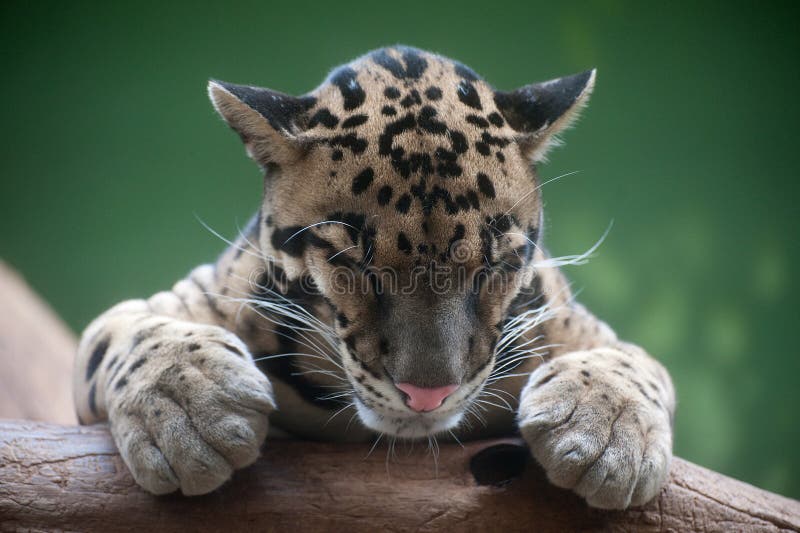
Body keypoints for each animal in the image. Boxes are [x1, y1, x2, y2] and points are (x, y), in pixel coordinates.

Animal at [73, 46, 675, 509]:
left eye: (494, 266)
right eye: (353, 263)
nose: (428, 395)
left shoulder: (575, 322)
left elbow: (636, 363)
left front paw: (606, 429)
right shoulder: (192, 296)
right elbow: (129, 333)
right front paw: (188, 404)